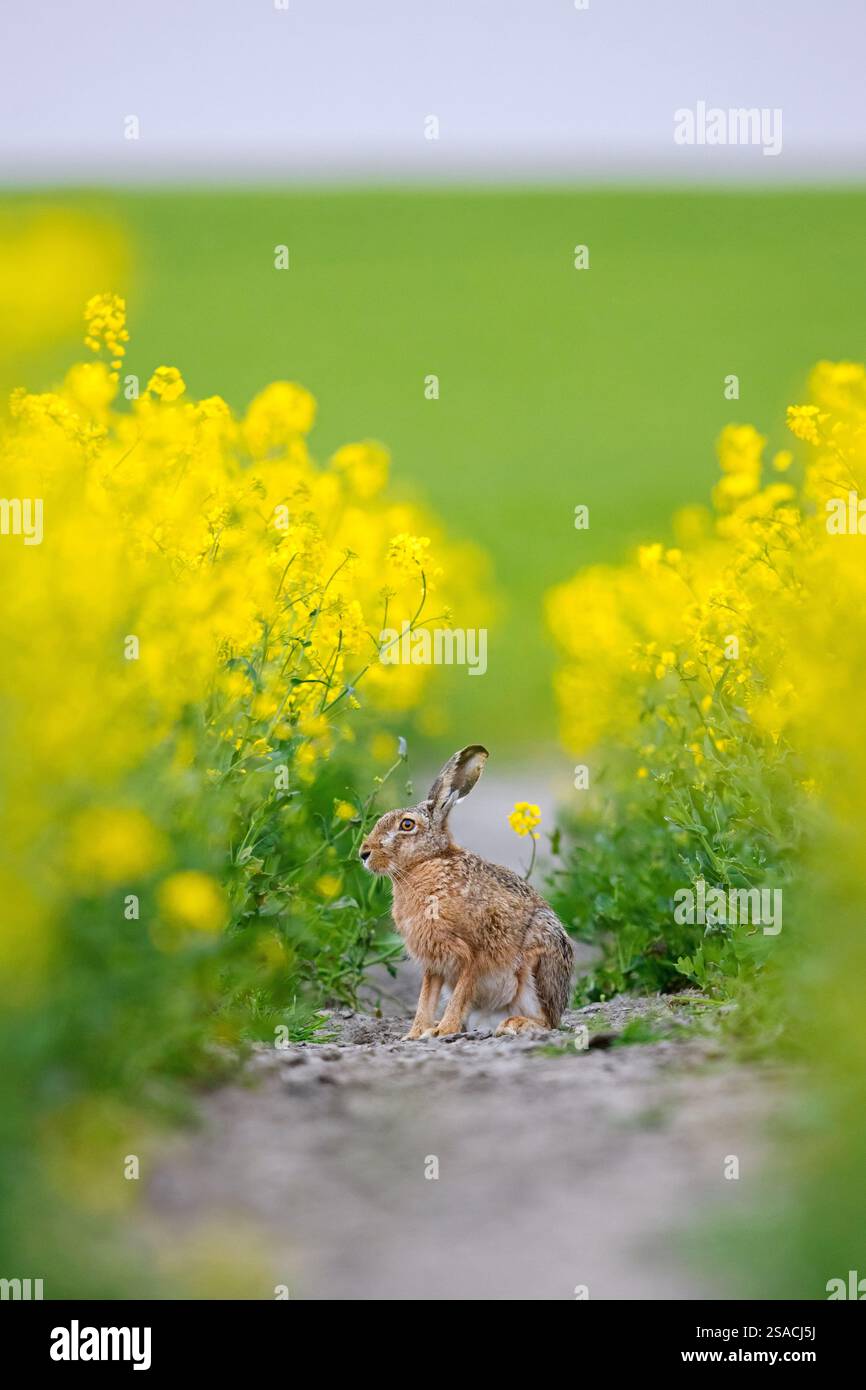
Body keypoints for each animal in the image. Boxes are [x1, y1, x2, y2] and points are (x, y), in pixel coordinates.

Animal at [359, 744, 574, 1039]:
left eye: (407, 825)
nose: (363, 853)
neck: (427, 862)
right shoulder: (434, 963)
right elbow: (425, 998)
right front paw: (417, 1033)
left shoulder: (474, 952)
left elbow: (461, 992)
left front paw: (443, 1030)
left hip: (537, 966)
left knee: (548, 1021)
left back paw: (514, 1025)